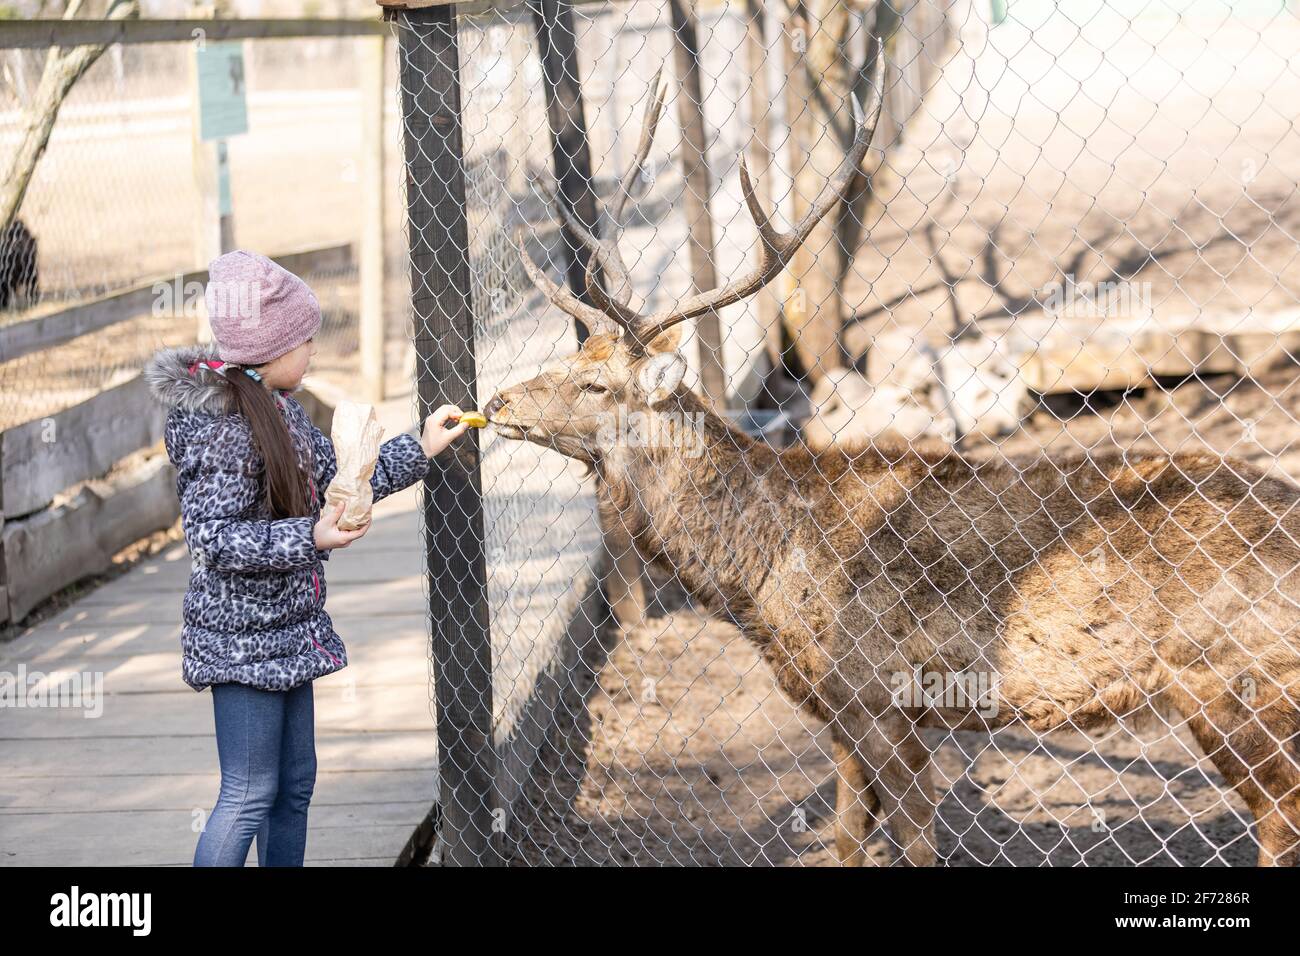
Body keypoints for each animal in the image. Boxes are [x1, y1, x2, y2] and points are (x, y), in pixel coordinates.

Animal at [485, 60, 1300, 866]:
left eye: (595, 384)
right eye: (571, 358)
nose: (496, 400)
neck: (760, 579)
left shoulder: (885, 698)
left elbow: (914, 844)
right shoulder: (842, 712)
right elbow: (848, 837)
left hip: (1237, 680)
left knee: (1279, 819)